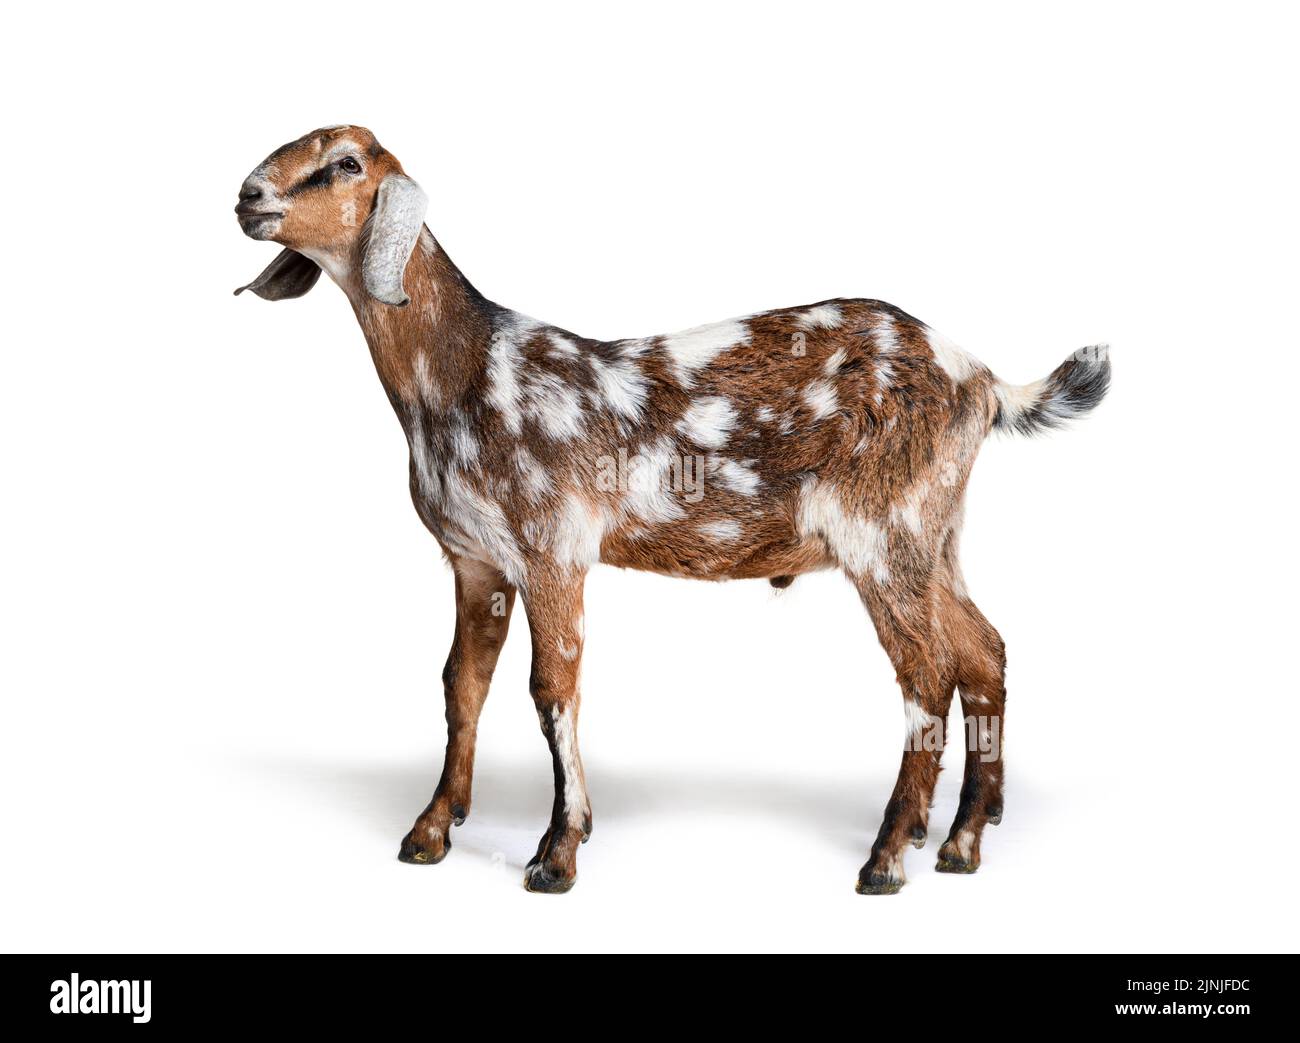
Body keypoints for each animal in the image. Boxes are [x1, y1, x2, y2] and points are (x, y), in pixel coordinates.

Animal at [234, 126, 1110, 894]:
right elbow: (462, 684)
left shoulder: (553, 547)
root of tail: (984, 379)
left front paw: (557, 852)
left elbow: (552, 688)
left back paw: (890, 856)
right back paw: (964, 840)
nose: (248, 196)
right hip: (935, 536)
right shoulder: (476, 560)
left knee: (927, 674)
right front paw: (430, 829)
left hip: (882, 533)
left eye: (346, 162)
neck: (466, 371)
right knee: (984, 650)